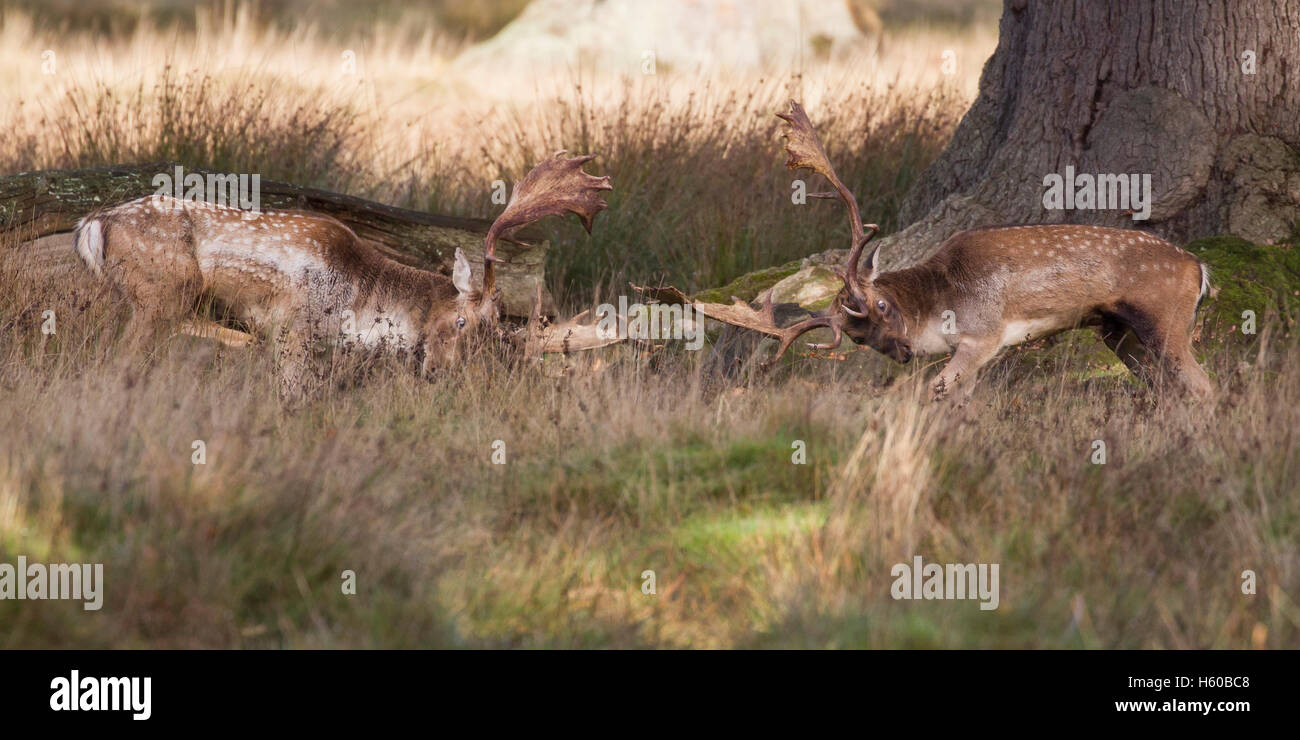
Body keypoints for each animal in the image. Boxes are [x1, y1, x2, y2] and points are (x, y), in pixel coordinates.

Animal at [73, 152, 620, 397]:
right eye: (463, 321)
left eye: (494, 337)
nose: (440, 375)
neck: (357, 306)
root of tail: (93, 224)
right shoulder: (293, 330)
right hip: (160, 294)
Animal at [677, 101, 1215, 401]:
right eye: (855, 337)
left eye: (881, 303)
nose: (904, 352)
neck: (941, 303)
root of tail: (1200, 268)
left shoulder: (985, 335)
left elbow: (939, 392)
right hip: (1118, 331)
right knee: (1172, 386)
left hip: (1164, 317)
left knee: (1202, 385)